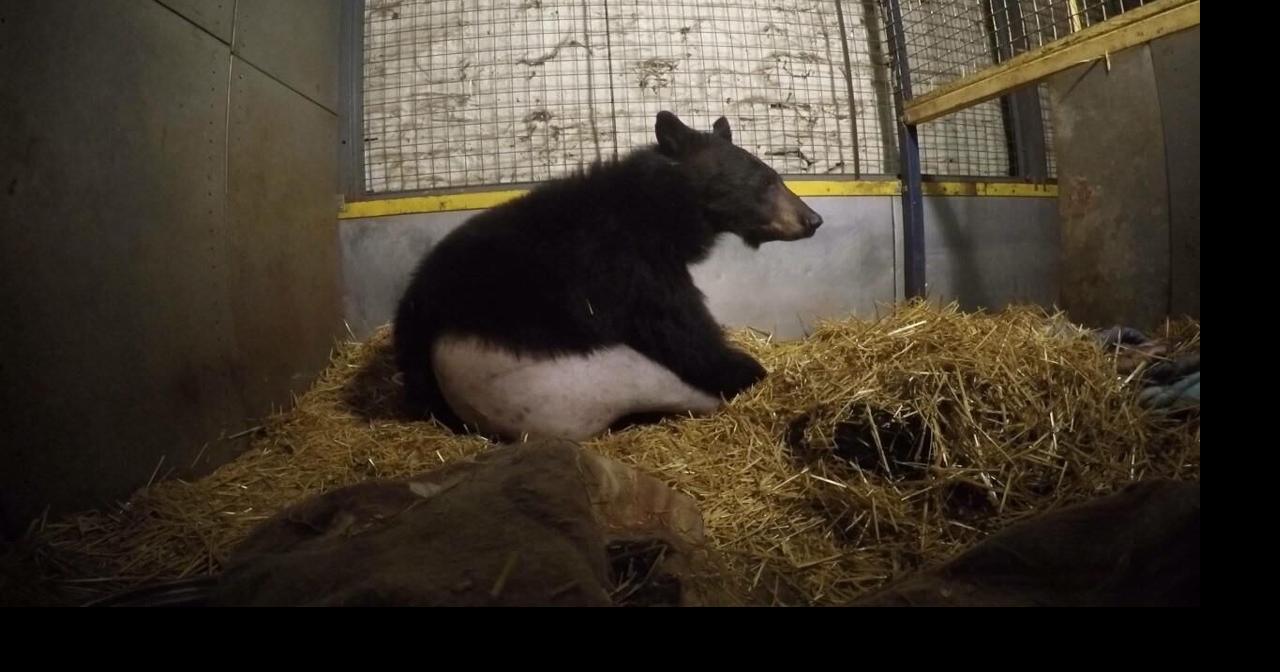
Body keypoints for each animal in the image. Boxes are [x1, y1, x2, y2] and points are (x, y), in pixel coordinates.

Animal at [393, 111, 824, 441]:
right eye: (767, 180)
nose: (813, 219)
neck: (659, 208)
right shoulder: (626, 268)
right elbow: (683, 334)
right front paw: (747, 369)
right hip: (572, 378)